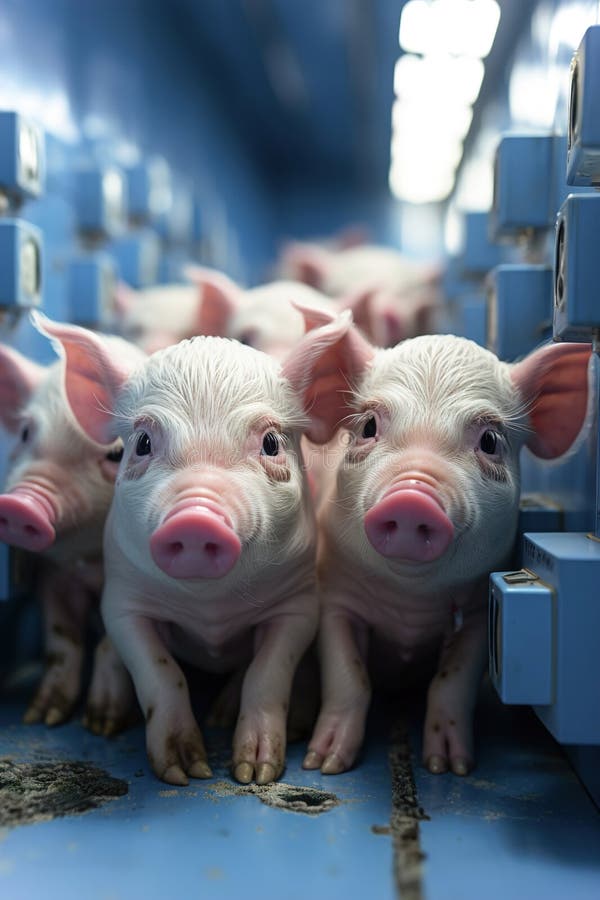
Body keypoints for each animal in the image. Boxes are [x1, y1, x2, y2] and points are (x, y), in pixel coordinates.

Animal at [0, 334, 145, 732]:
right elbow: (62, 639)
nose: (21, 505)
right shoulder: (54, 575)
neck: (89, 561)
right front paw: (42, 718)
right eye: (25, 432)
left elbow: (111, 644)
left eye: (116, 454)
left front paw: (101, 726)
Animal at [34, 312, 354, 787]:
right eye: (142, 443)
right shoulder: (124, 604)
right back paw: (88, 722)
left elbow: (266, 674)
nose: (196, 516)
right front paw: (186, 772)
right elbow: (160, 674)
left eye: (271, 443)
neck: (211, 612)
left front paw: (255, 772)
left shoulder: (298, 604)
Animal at [297, 320, 591, 776]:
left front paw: (449, 767)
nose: (411, 497)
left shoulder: (477, 613)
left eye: (490, 440)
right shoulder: (335, 599)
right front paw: (324, 763)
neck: (409, 601)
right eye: (368, 427)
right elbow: (349, 677)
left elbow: (452, 681)